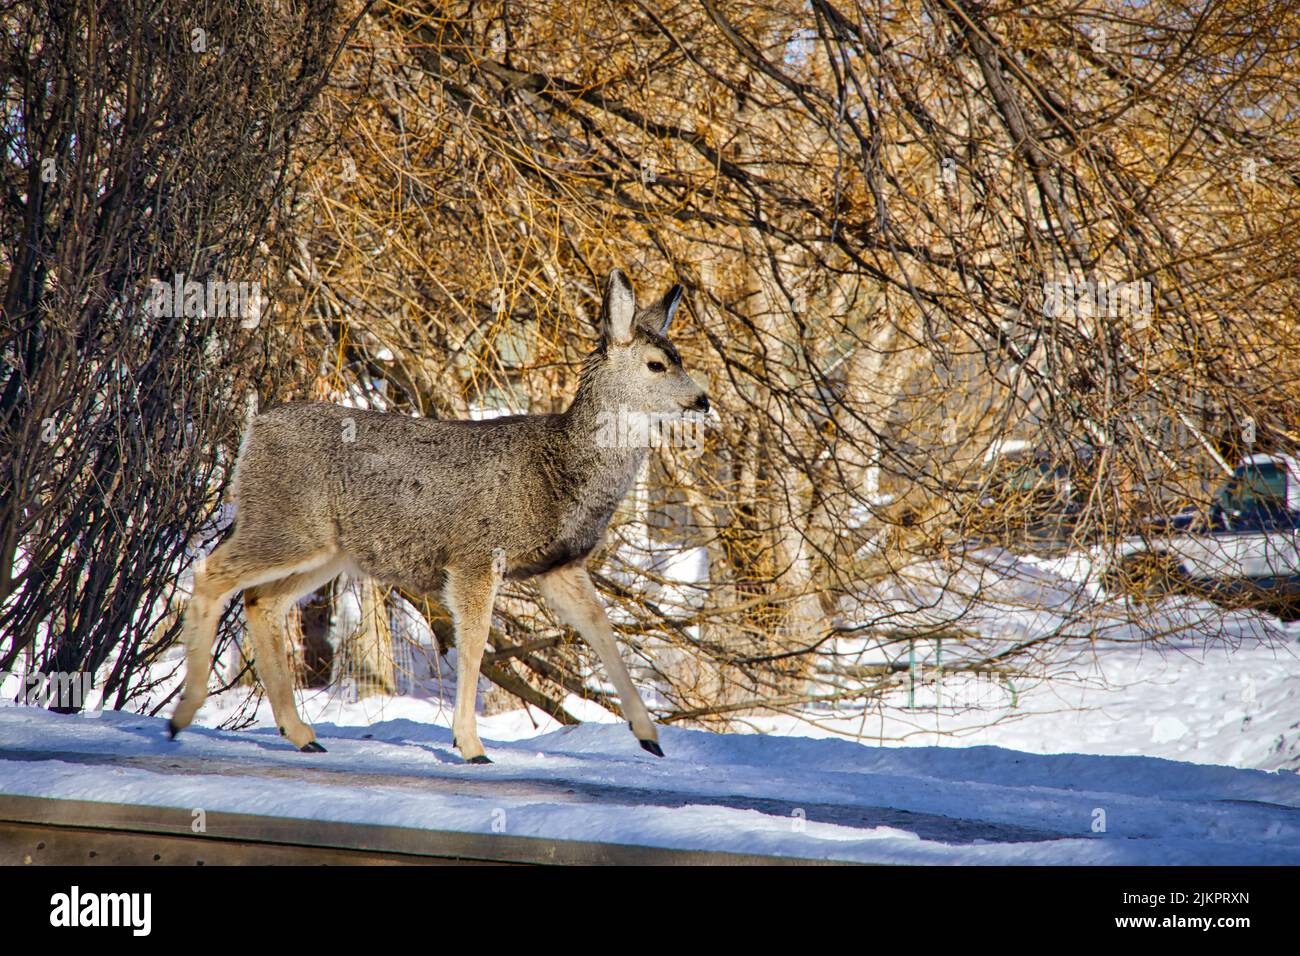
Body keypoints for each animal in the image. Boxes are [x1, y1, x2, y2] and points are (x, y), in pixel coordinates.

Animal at [168, 269, 709, 763]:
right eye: (657, 364)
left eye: (679, 358)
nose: (702, 400)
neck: (559, 471)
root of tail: (253, 430)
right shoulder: (475, 554)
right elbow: (474, 645)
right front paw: (470, 745)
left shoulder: (557, 565)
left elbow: (602, 630)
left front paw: (649, 736)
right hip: (286, 523)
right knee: (211, 572)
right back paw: (183, 715)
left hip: (327, 550)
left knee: (262, 601)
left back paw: (300, 734)